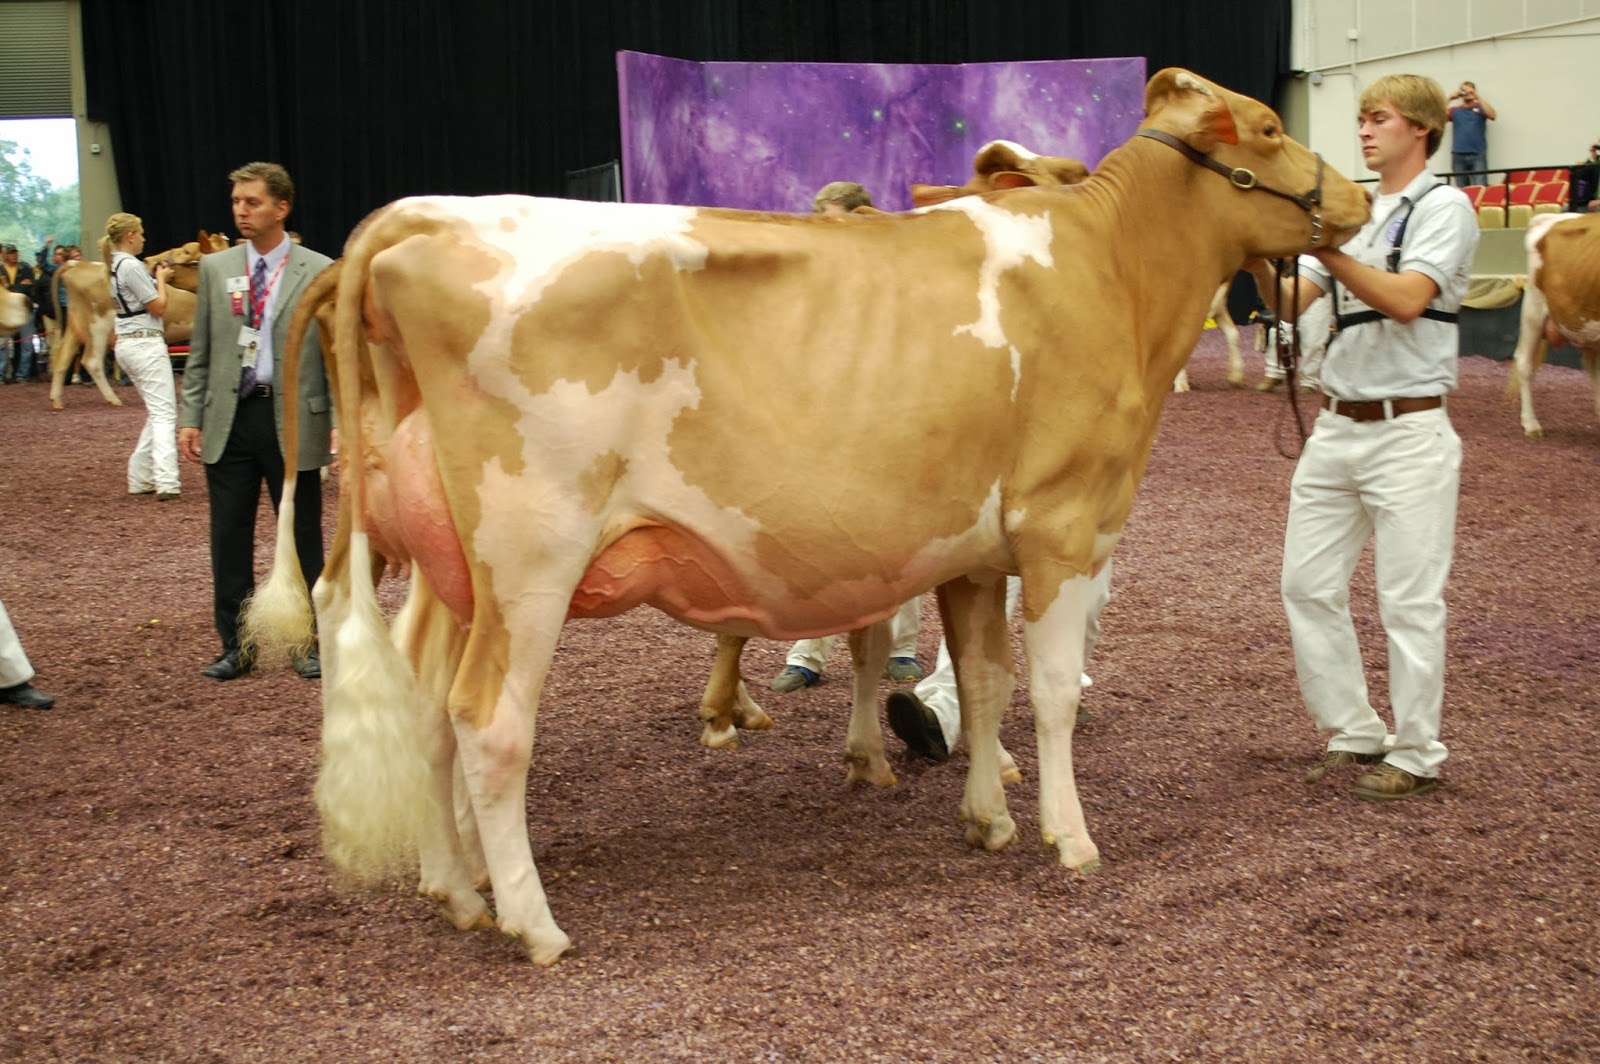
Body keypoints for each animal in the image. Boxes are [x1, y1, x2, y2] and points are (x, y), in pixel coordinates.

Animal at [245, 68, 1368, 965]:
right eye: (1270, 125)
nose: (1357, 193)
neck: (1111, 274)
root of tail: (411, 220)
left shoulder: (973, 547)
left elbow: (986, 683)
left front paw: (987, 817)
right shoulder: (1065, 524)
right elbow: (1047, 692)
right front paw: (1070, 835)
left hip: (451, 567)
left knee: (427, 706)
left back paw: (457, 889)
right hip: (530, 558)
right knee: (487, 719)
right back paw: (534, 921)